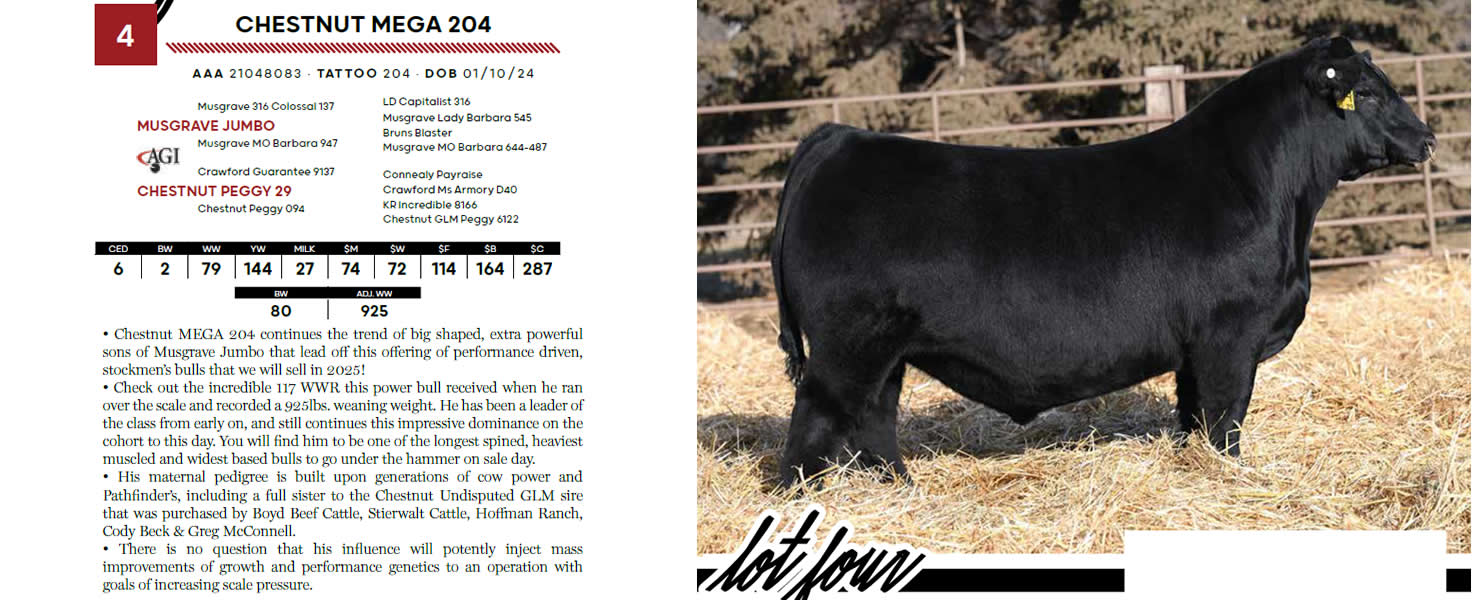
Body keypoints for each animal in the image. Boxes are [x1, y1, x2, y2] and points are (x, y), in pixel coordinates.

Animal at [770, 37, 1435, 487]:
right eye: (1367, 93)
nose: (1427, 139)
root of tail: (843, 138)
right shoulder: (1229, 336)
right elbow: (1225, 422)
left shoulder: (1194, 349)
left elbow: (1193, 419)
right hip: (847, 344)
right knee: (814, 426)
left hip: (886, 349)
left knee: (874, 421)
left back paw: (903, 489)